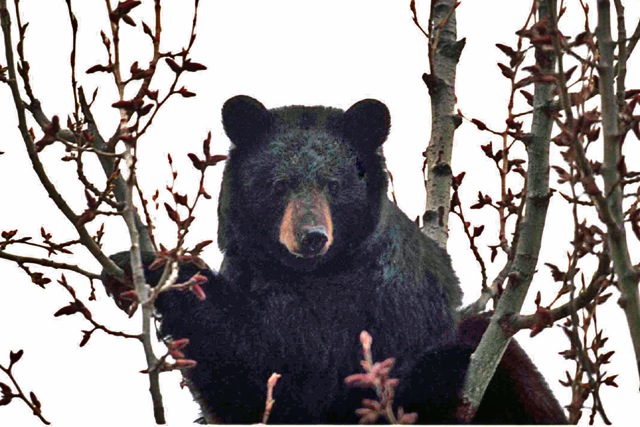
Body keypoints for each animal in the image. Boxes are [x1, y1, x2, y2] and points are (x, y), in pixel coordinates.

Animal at [104, 95, 567, 424]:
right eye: (278, 184)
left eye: (333, 183)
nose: (312, 237)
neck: (307, 273)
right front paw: (129, 267)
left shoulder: (370, 297)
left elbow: (286, 364)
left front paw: (160, 270)